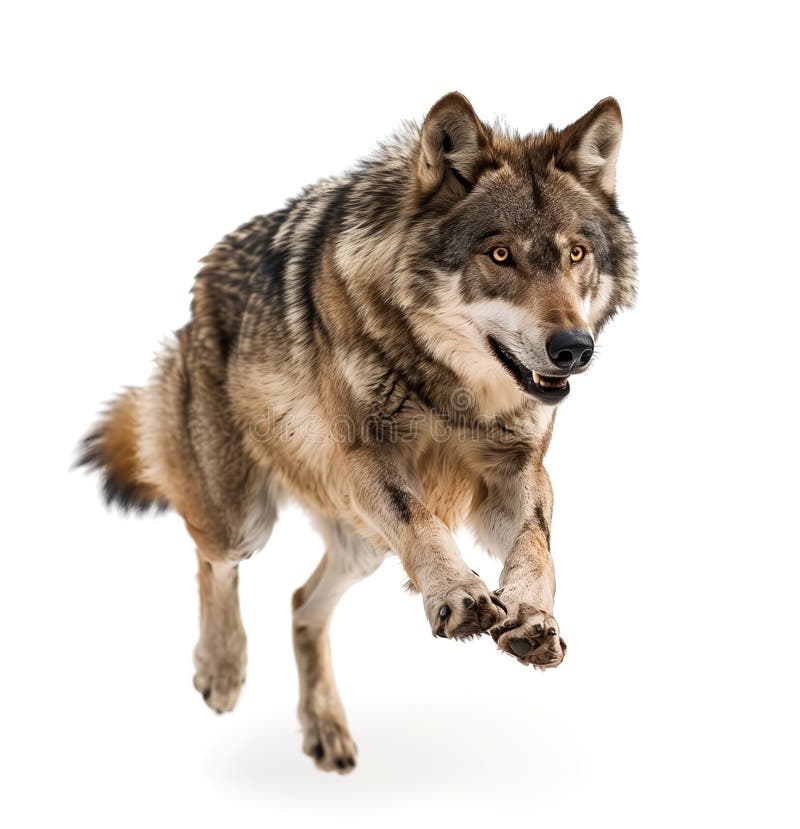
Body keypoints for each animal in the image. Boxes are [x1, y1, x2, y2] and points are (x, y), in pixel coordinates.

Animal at [77, 92, 636, 773]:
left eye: (576, 254)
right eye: (500, 254)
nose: (574, 348)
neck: (451, 391)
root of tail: (196, 295)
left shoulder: (518, 471)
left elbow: (538, 549)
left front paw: (533, 618)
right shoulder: (369, 459)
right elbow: (423, 524)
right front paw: (459, 594)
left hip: (363, 542)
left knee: (300, 605)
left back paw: (323, 726)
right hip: (246, 521)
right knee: (215, 563)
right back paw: (223, 667)